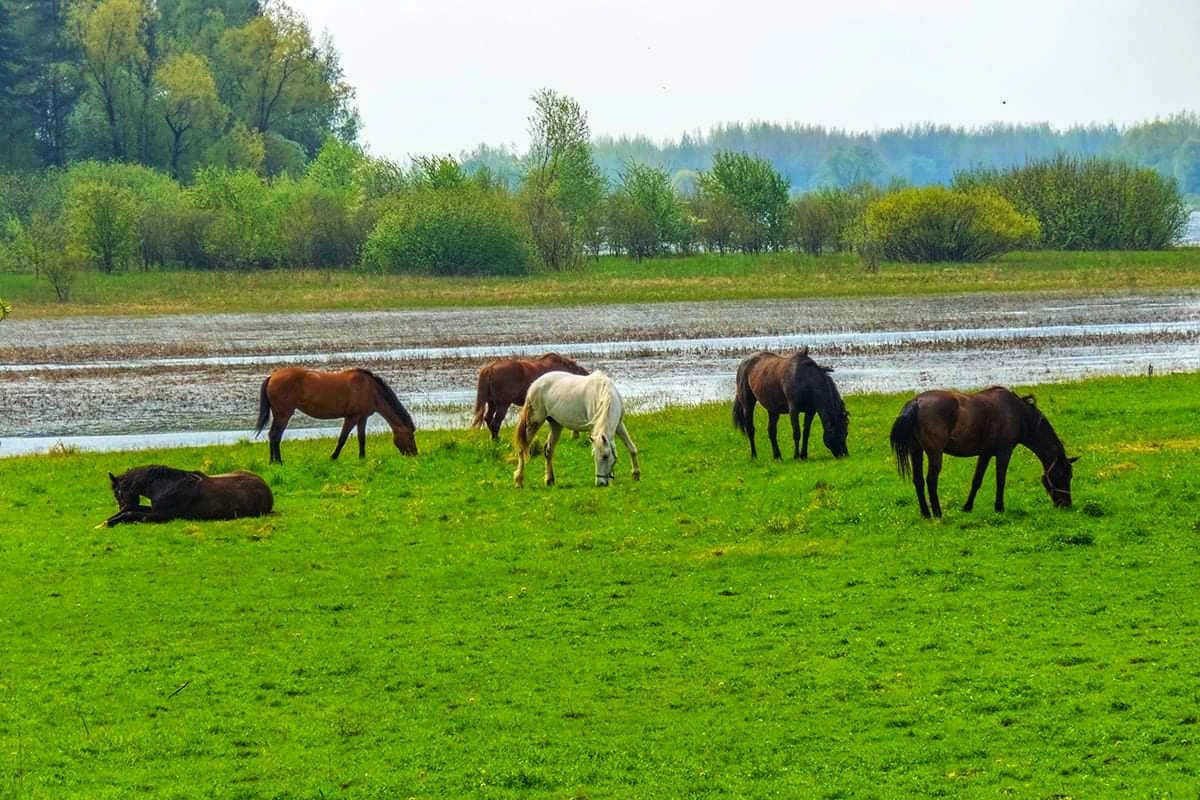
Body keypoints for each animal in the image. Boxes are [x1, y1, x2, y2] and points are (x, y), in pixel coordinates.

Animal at [100, 465, 274, 527]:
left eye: (116, 492)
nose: (122, 506)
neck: (165, 484)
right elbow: (137, 510)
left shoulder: (161, 515)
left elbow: (133, 514)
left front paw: (108, 523)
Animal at [255, 364, 420, 462]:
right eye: (410, 436)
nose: (414, 454)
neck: (370, 389)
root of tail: (272, 376)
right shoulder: (351, 417)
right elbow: (342, 438)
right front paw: (333, 457)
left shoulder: (362, 417)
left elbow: (362, 439)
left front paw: (362, 457)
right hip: (283, 414)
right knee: (275, 435)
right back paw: (277, 461)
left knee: (274, 436)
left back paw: (274, 461)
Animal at [892, 386, 1080, 520]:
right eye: (1063, 475)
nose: (1065, 504)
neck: (1018, 412)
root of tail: (916, 402)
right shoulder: (1004, 452)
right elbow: (1000, 480)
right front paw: (999, 508)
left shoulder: (985, 453)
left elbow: (976, 481)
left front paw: (967, 507)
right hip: (934, 453)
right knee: (931, 480)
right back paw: (937, 513)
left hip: (916, 451)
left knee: (918, 481)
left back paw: (925, 514)